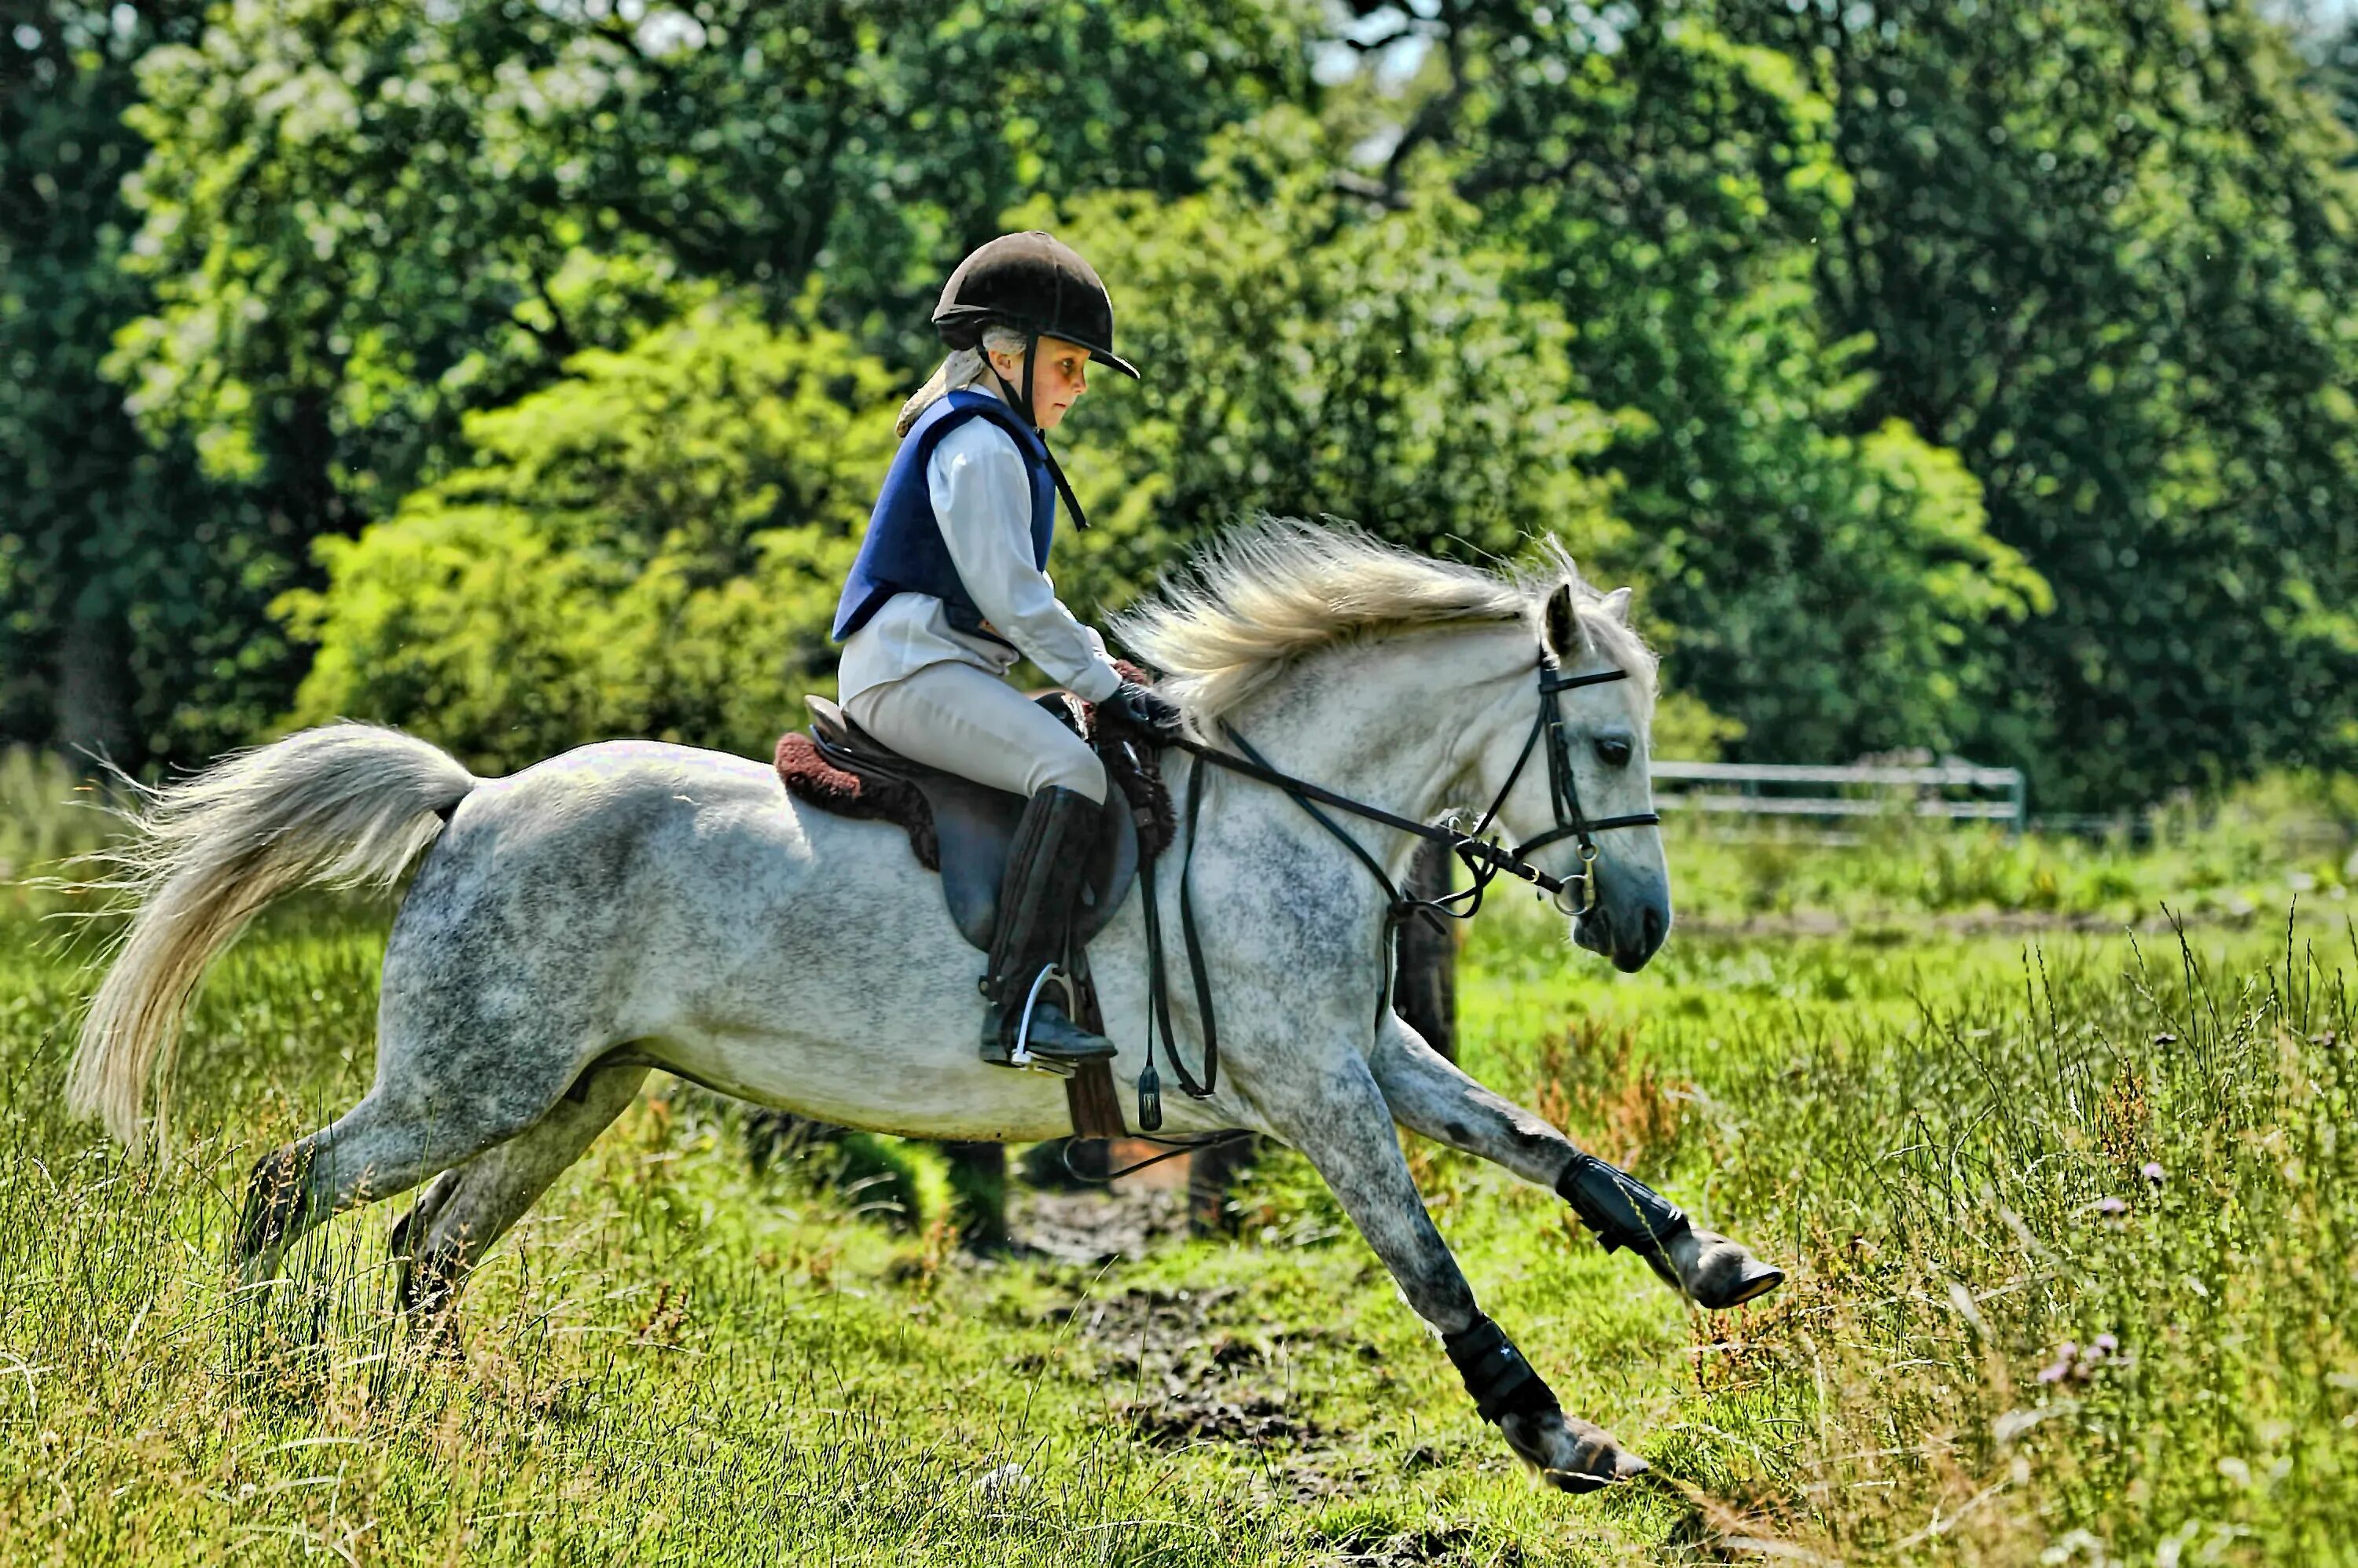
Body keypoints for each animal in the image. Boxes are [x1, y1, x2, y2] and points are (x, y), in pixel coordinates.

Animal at [64, 519, 1773, 1490]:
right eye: (1608, 748)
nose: (1639, 927)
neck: (1286, 807)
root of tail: (471, 800)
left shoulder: (1365, 1052)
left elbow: (1550, 1148)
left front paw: (1710, 1261)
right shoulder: (1314, 1087)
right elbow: (1431, 1264)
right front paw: (1562, 1438)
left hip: (574, 1090)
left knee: (427, 1250)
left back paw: (464, 1424)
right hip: (469, 1081)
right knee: (286, 1190)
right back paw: (262, 1398)